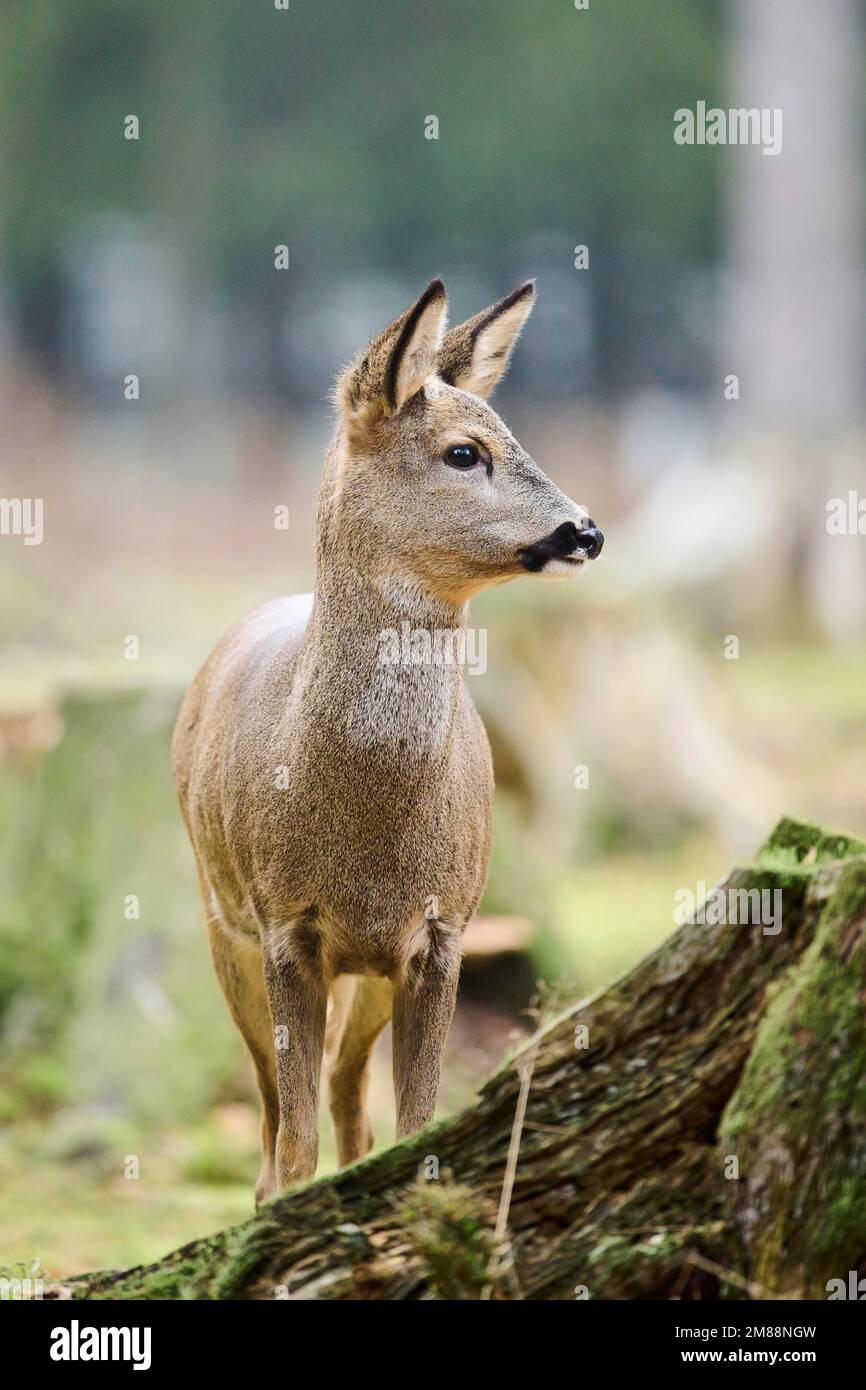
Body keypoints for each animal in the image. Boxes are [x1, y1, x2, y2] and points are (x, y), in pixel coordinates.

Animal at [172, 278, 603, 1202]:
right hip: (221, 917)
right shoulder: (284, 924)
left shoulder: (443, 930)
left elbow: (416, 1125)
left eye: (512, 430)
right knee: (272, 1116)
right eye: (464, 452)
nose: (585, 531)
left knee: (345, 1093)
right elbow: (292, 1144)